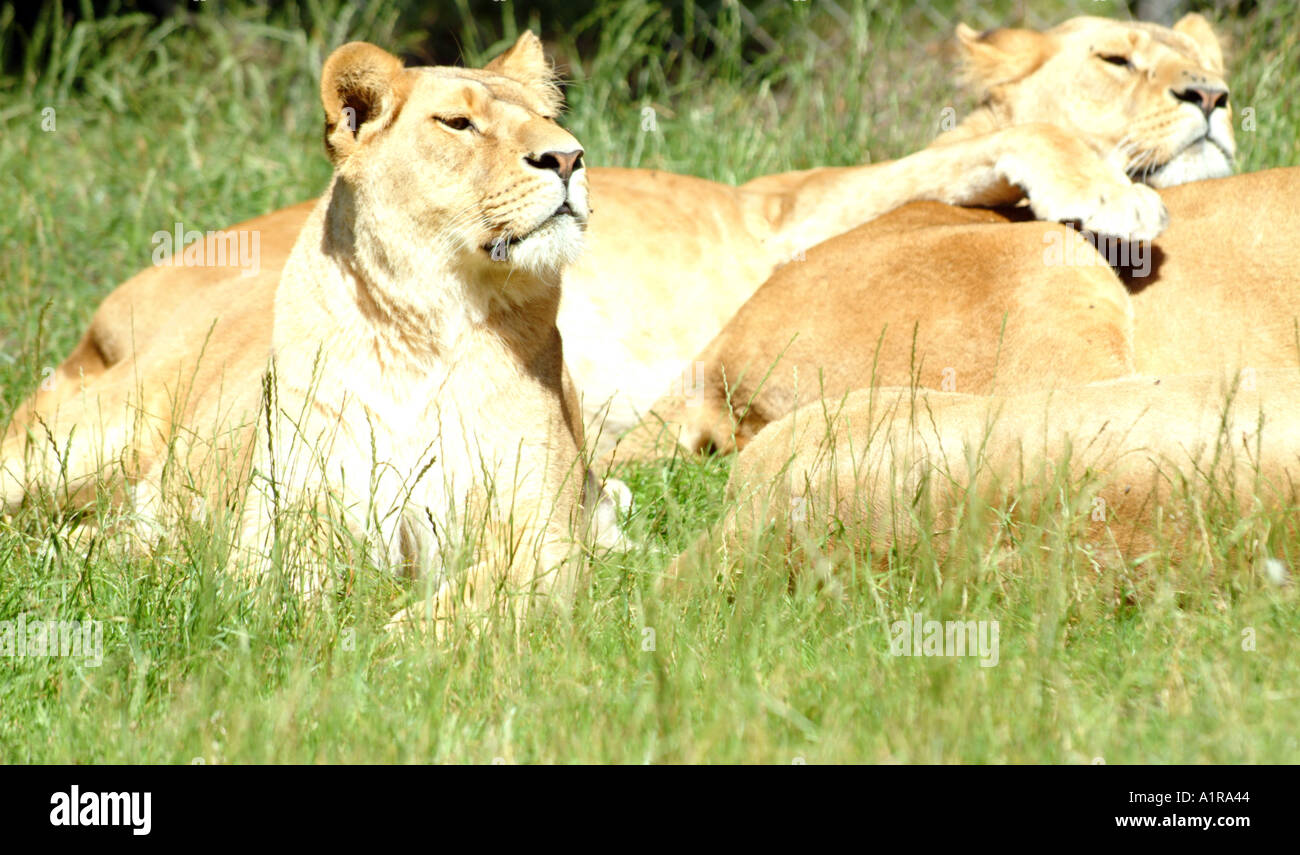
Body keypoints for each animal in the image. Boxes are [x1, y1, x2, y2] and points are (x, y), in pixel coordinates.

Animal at [2, 38, 624, 634]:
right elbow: (281, 595)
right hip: (77, 445)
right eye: (458, 123)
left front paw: (386, 644)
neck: (425, 325)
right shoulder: (284, 514)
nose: (568, 157)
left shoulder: (548, 536)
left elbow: (461, 603)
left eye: (549, 117)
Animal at [17, 15, 1216, 455]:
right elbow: (1004, 141)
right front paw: (1114, 194)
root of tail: (92, 328)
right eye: (1116, 57)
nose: (1214, 93)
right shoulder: (794, 219)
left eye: (1193, 54)